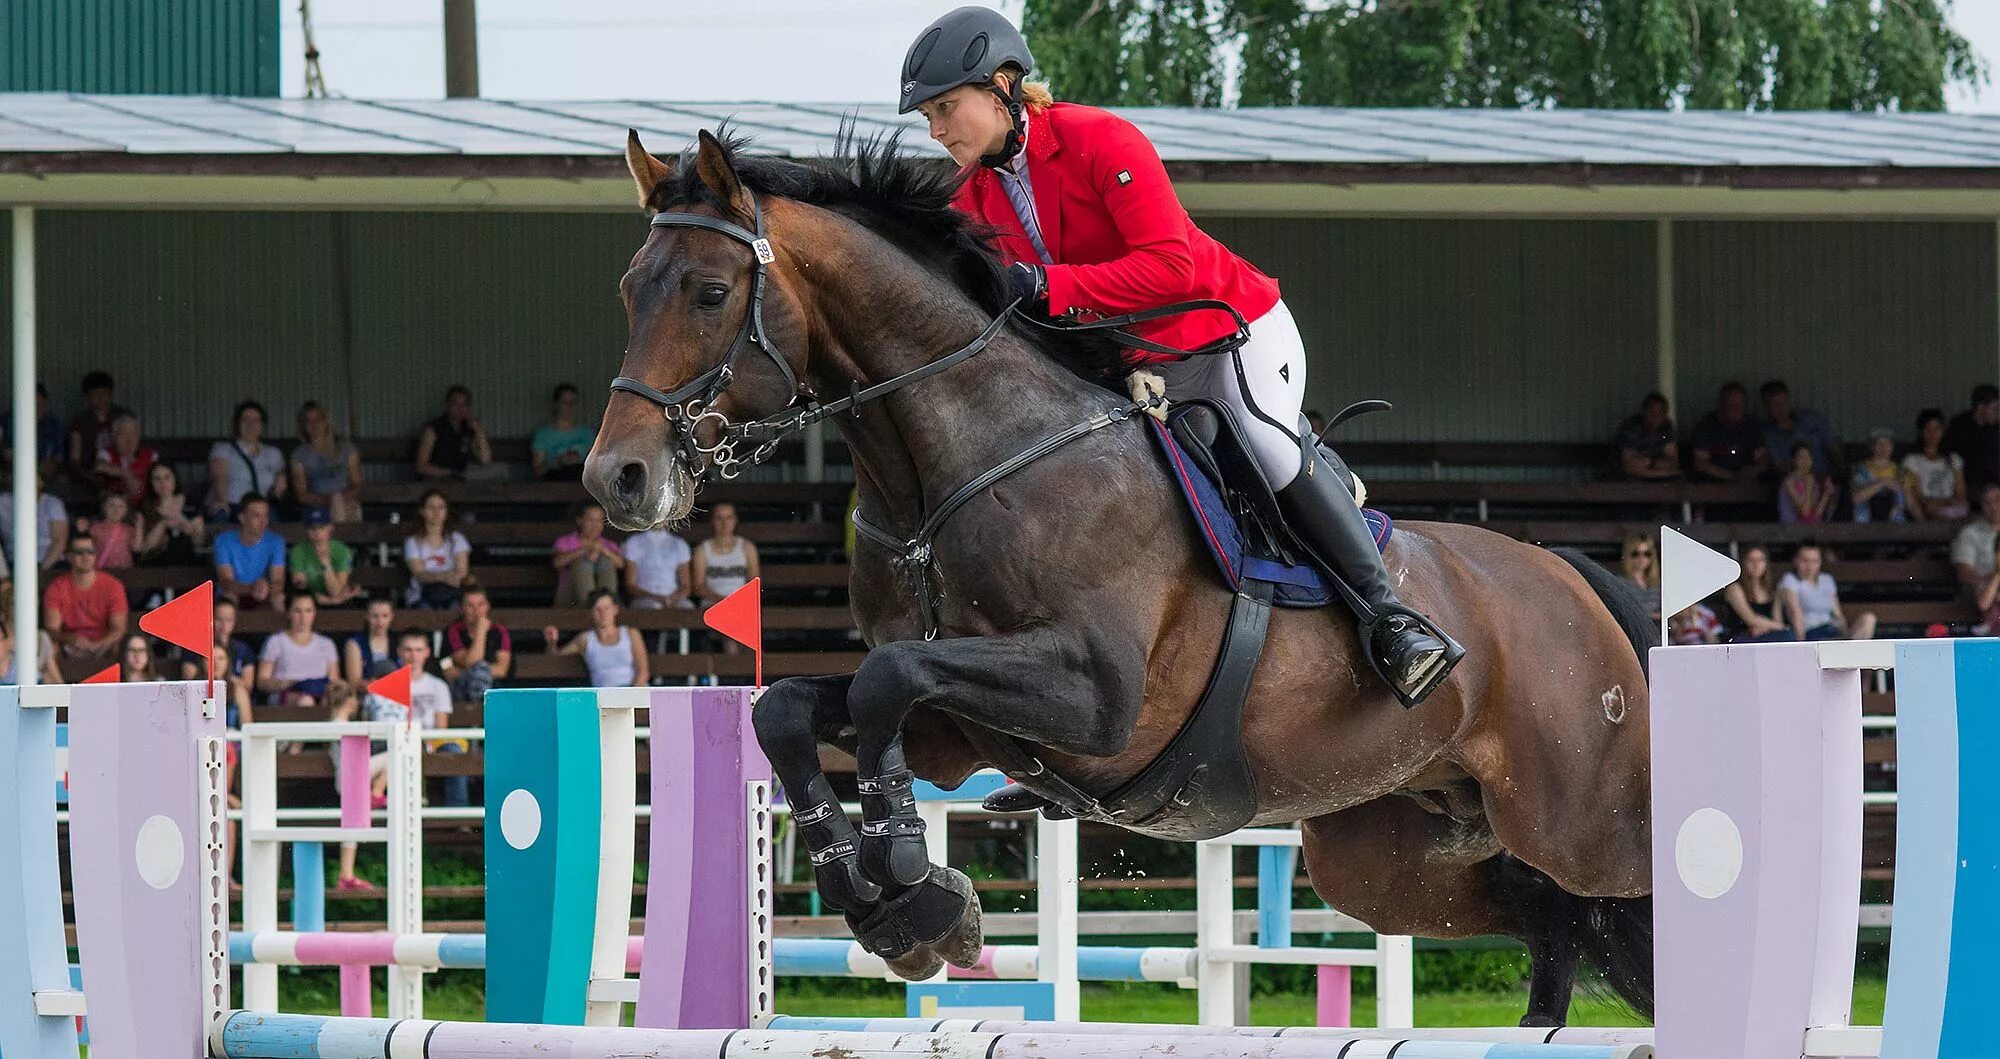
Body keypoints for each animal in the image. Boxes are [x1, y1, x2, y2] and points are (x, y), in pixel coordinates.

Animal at [584, 125, 1664, 1023]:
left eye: (710, 293)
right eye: (629, 289)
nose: (616, 479)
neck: (959, 464)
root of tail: (1577, 582)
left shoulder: (1096, 699)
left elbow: (886, 679)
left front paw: (908, 873)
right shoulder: (959, 730)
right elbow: (795, 709)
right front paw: (898, 902)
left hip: (1581, 818)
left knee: (1633, 883)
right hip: (1395, 849)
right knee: (1551, 914)